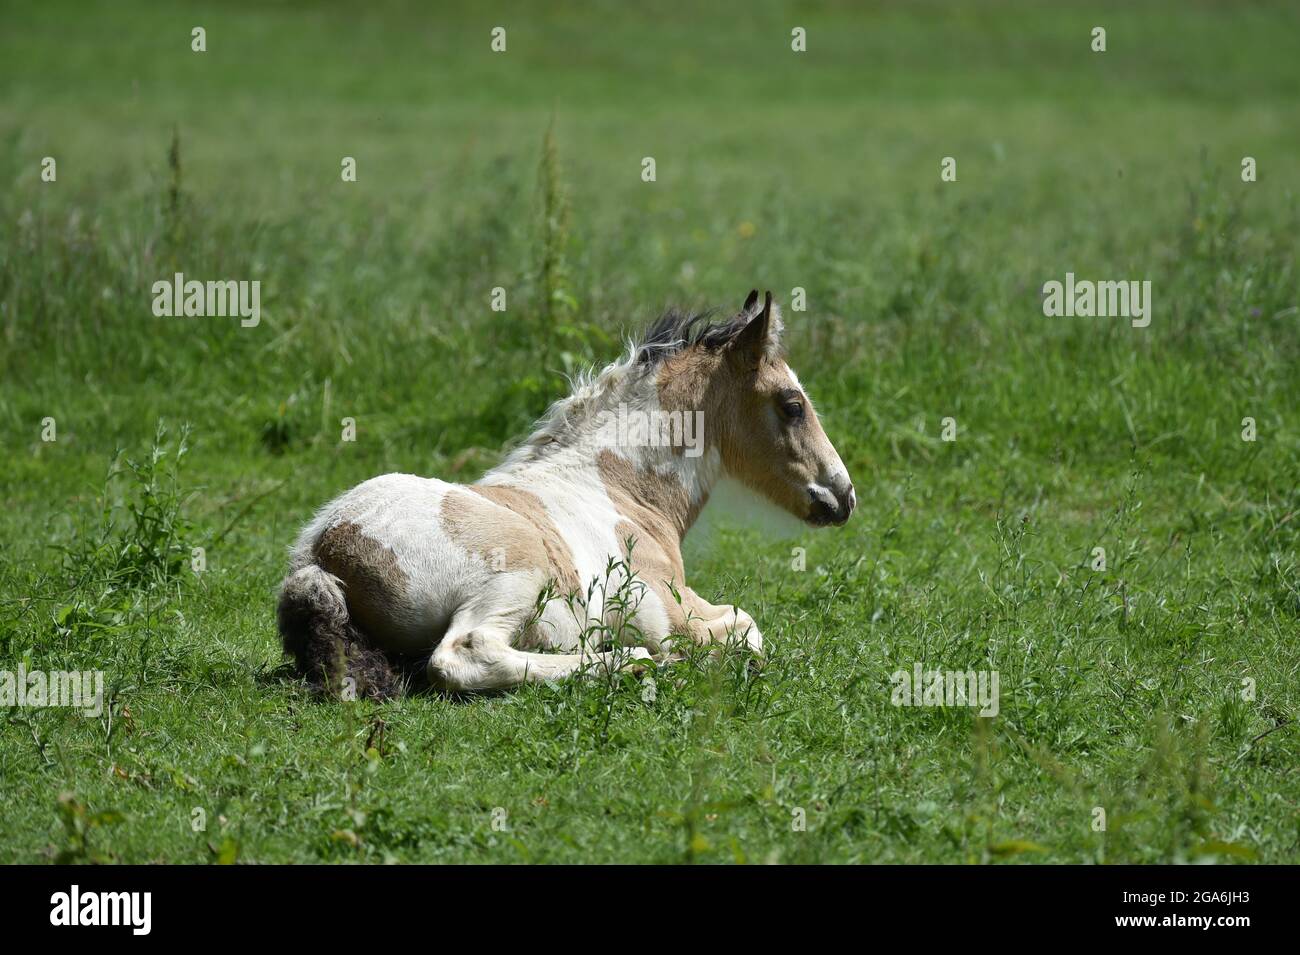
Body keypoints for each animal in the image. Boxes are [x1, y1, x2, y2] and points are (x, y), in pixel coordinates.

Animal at [277, 290, 855, 698]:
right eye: (792, 405)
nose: (843, 495)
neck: (621, 492)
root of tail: (320, 554)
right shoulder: (664, 612)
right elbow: (747, 626)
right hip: (519, 567)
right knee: (463, 655)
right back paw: (628, 664)